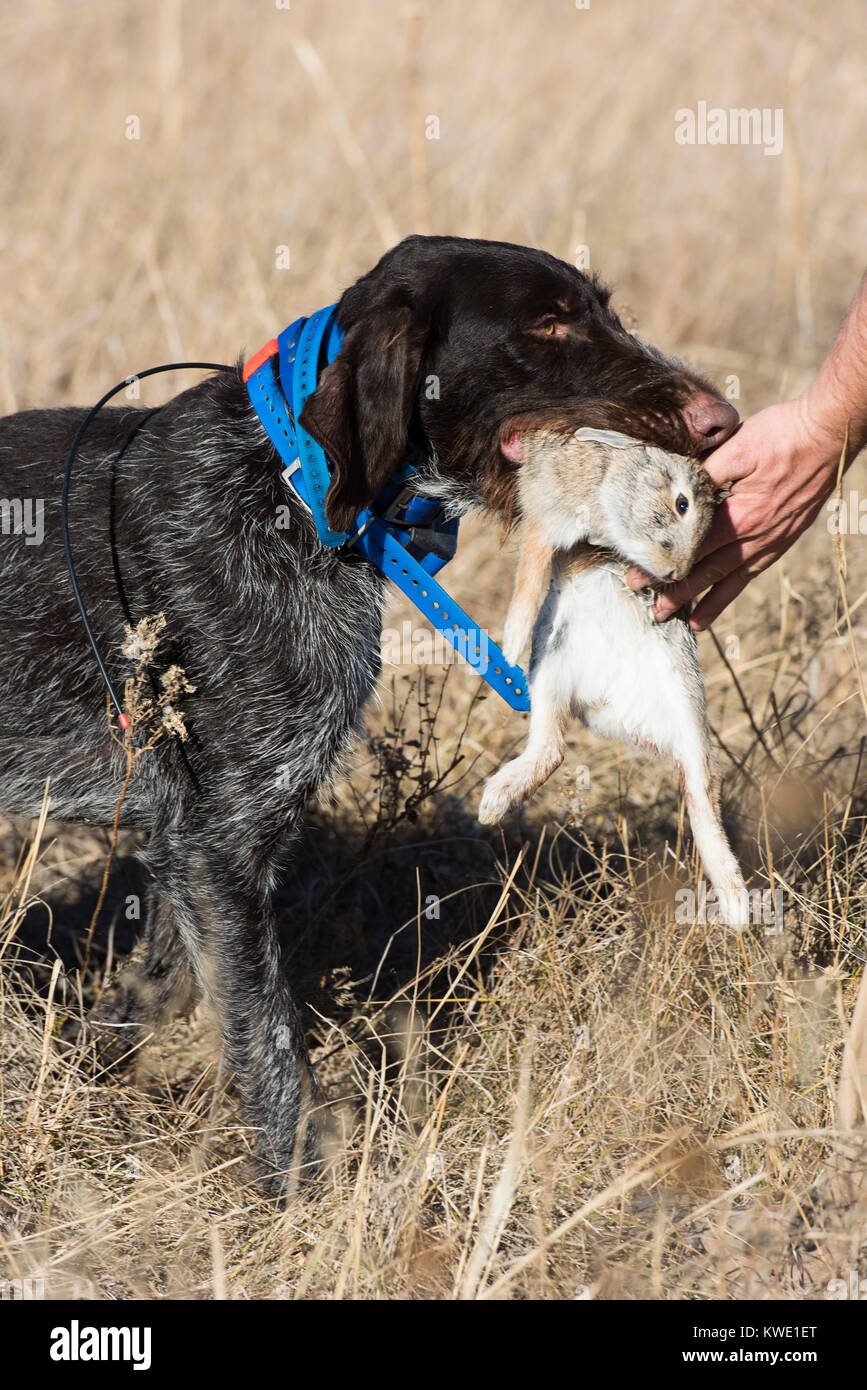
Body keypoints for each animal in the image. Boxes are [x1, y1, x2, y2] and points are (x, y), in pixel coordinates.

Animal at [479, 427, 750, 928]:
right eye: (681, 503)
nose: (675, 572)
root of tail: (608, 702)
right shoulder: (548, 517)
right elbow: (528, 584)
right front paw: (508, 646)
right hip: (550, 671)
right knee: (551, 750)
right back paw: (494, 804)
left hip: (683, 700)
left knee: (702, 788)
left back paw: (738, 907)